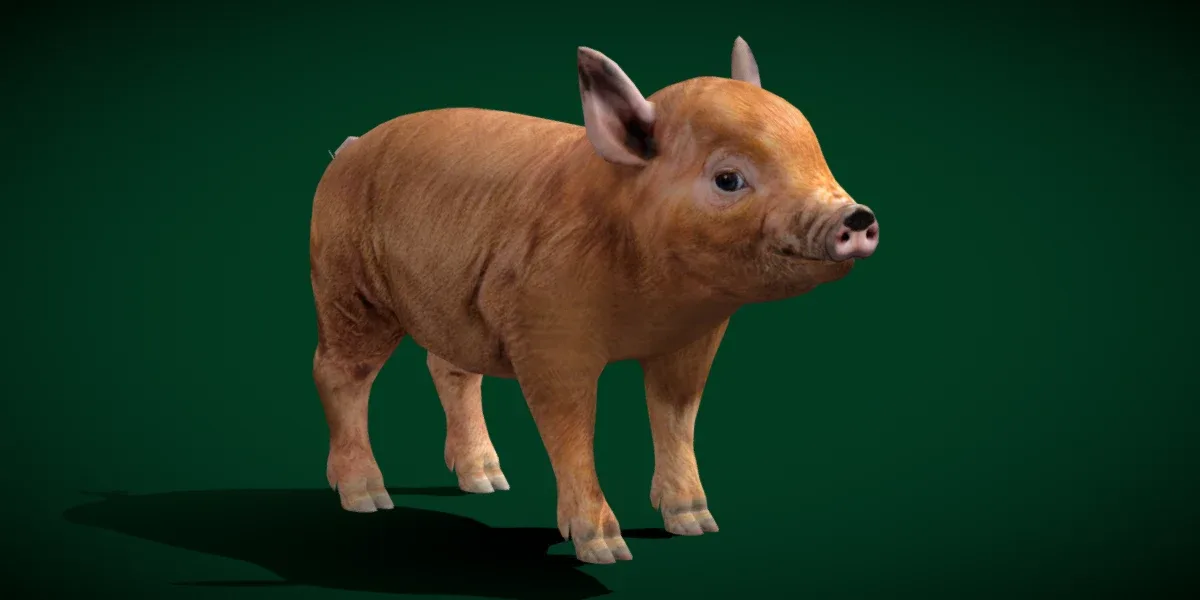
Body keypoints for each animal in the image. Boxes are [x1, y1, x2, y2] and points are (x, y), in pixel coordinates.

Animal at [309, 36, 880, 564]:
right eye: (728, 179)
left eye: (816, 155)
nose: (856, 216)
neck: (658, 302)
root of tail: (348, 150)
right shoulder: (546, 334)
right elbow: (571, 429)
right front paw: (607, 550)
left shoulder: (692, 340)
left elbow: (676, 419)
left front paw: (697, 525)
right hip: (347, 288)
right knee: (338, 373)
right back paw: (368, 499)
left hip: (447, 304)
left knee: (449, 371)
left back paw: (490, 483)